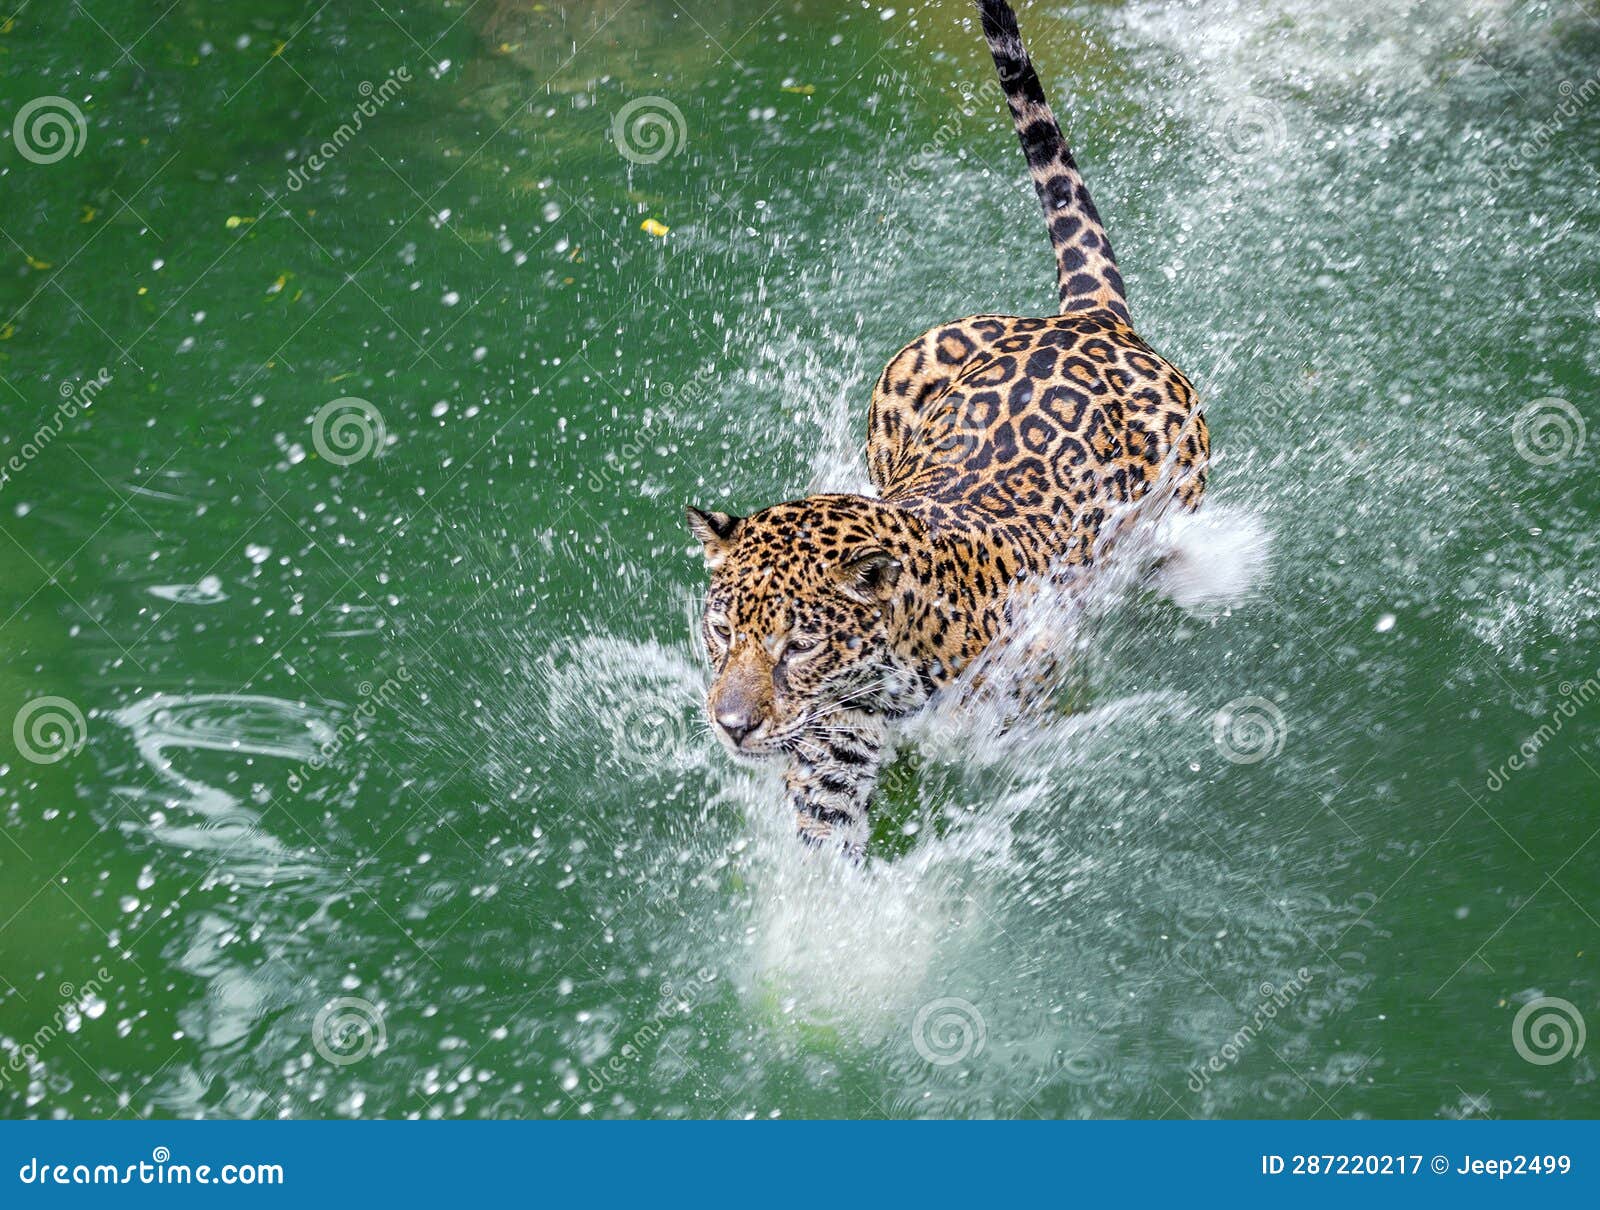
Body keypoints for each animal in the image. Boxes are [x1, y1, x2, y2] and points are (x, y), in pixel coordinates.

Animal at [686, 0, 1208, 856]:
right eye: (722, 631)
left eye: (799, 646)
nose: (732, 725)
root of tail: (1089, 320)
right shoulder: (832, 755)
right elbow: (828, 846)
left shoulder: (1029, 669)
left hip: (1177, 491)